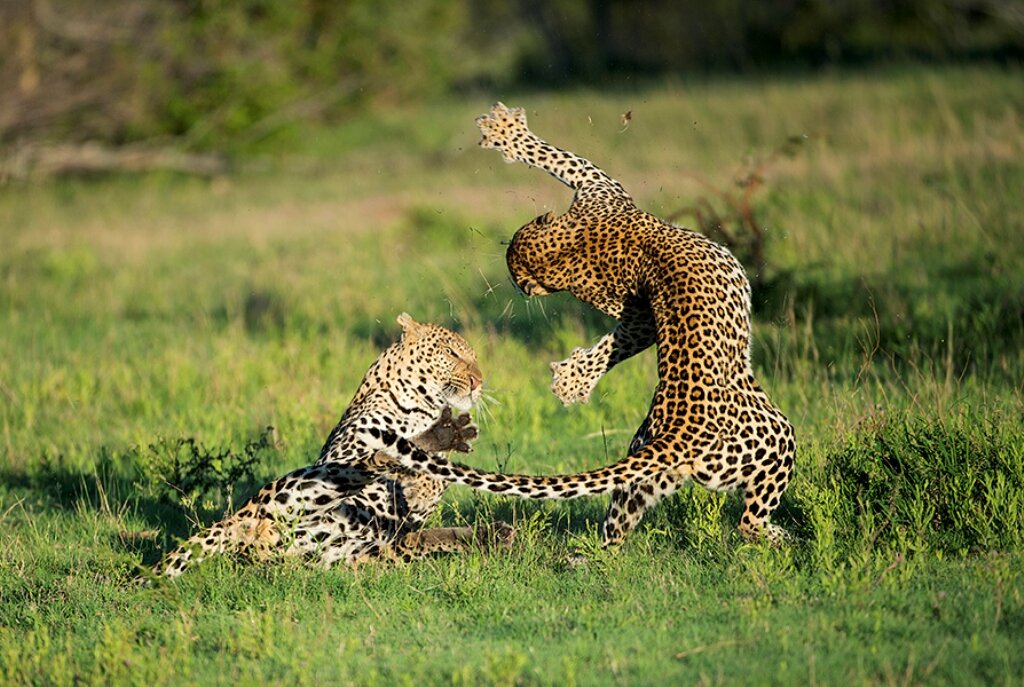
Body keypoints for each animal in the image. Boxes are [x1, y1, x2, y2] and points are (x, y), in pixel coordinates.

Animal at [152, 315, 512, 577]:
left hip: (349, 553)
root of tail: (239, 520)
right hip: (296, 498)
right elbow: (384, 454)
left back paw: (495, 532)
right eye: (452, 353)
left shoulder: (408, 523)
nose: (479, 381)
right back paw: (439, 437)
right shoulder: (347, 449)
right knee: (368, 465)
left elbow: (423, 507)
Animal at [387, 102, 794, 548]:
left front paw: (571, 380)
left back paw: (597, 554)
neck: (571, 246)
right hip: (776, 440)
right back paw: (780, 537)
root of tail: (678, 436)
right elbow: (558, 156)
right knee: (749, 521)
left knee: (614, 527)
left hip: (642, 472)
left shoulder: (628, 292)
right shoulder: (603, 188)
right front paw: (508, 131)